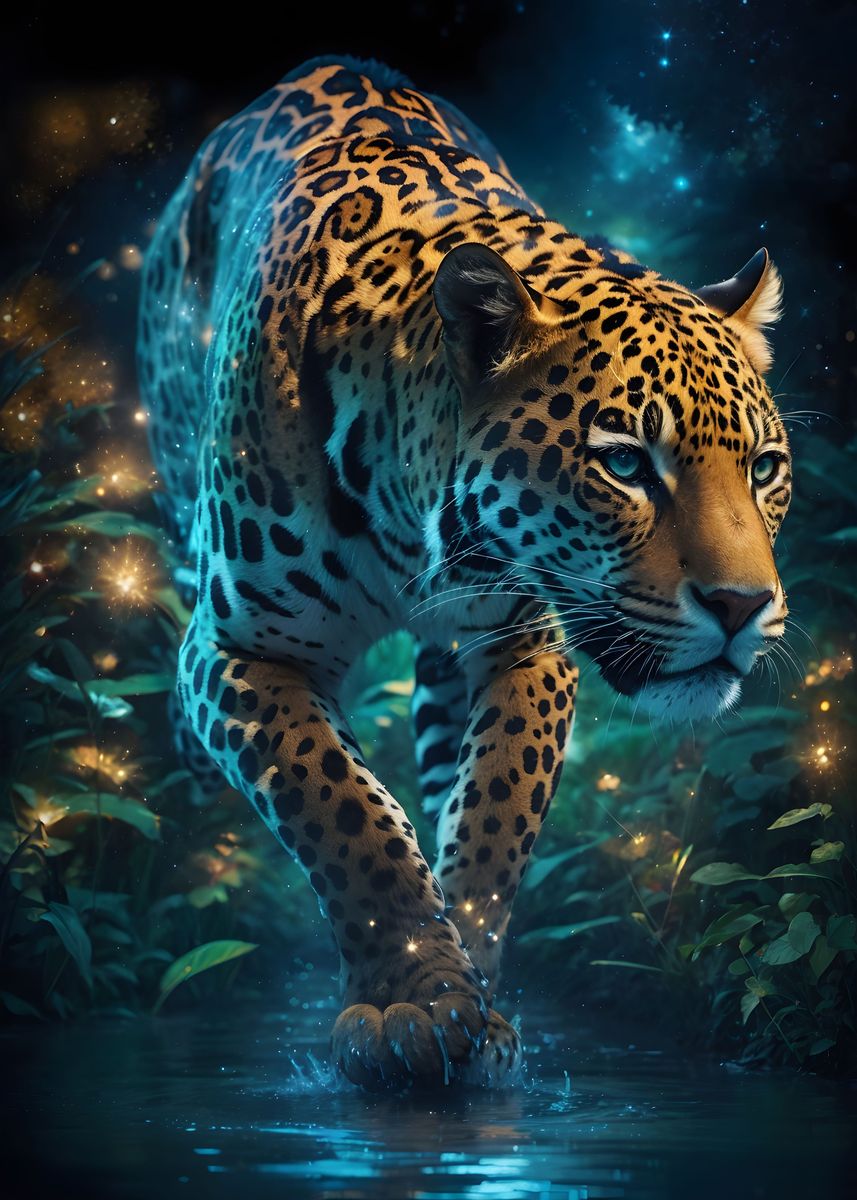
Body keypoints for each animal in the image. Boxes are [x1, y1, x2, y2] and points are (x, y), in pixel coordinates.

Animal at [137, 55, 791, 1089]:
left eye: (763, 468)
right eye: (625, 463)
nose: (742, 605)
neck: (416, 526)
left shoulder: (525, 647)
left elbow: (493, 813)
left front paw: (470, 1001)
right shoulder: (242, 648)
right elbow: (340, 809)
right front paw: (408, 1003)